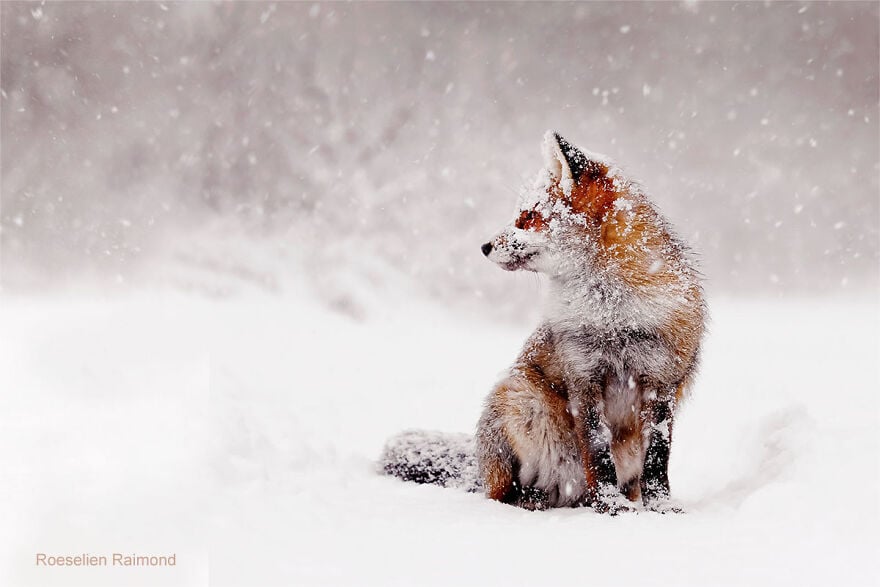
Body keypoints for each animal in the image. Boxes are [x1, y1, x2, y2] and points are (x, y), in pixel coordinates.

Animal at [381, 131, 706, 513]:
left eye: (528, 217)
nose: (484, 246)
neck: (613, 317)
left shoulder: (661, 382)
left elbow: (657, 458)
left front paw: (661, 509)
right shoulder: (584, 379)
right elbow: (598, 454)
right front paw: (611, 507)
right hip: (523, 401)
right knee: (508, 492)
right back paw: (537, 500)